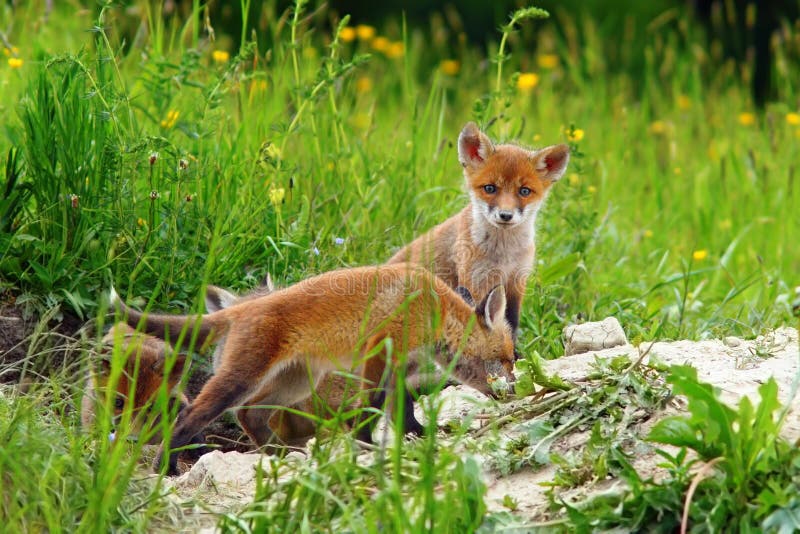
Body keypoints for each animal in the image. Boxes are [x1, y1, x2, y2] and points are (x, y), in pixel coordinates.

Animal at [112, 263, 515, 475]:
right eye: (510, 359)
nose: (514, 392)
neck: (435, 309)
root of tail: (240, 308)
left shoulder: (400, 368)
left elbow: (404, 410)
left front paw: (417, 435)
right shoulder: (377, 355)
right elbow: (371, 408)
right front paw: (365, 446)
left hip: (296, 383)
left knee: (250, 414)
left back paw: (280, 455)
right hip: (242, 379)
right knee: (191, 415)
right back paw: (166, 468)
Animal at [388, 122, 570, 343]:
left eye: (524, 191)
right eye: (490, 188)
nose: (505, 215)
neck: (504, 256)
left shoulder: (517, 280)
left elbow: (512, 323)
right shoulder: (475, 280)